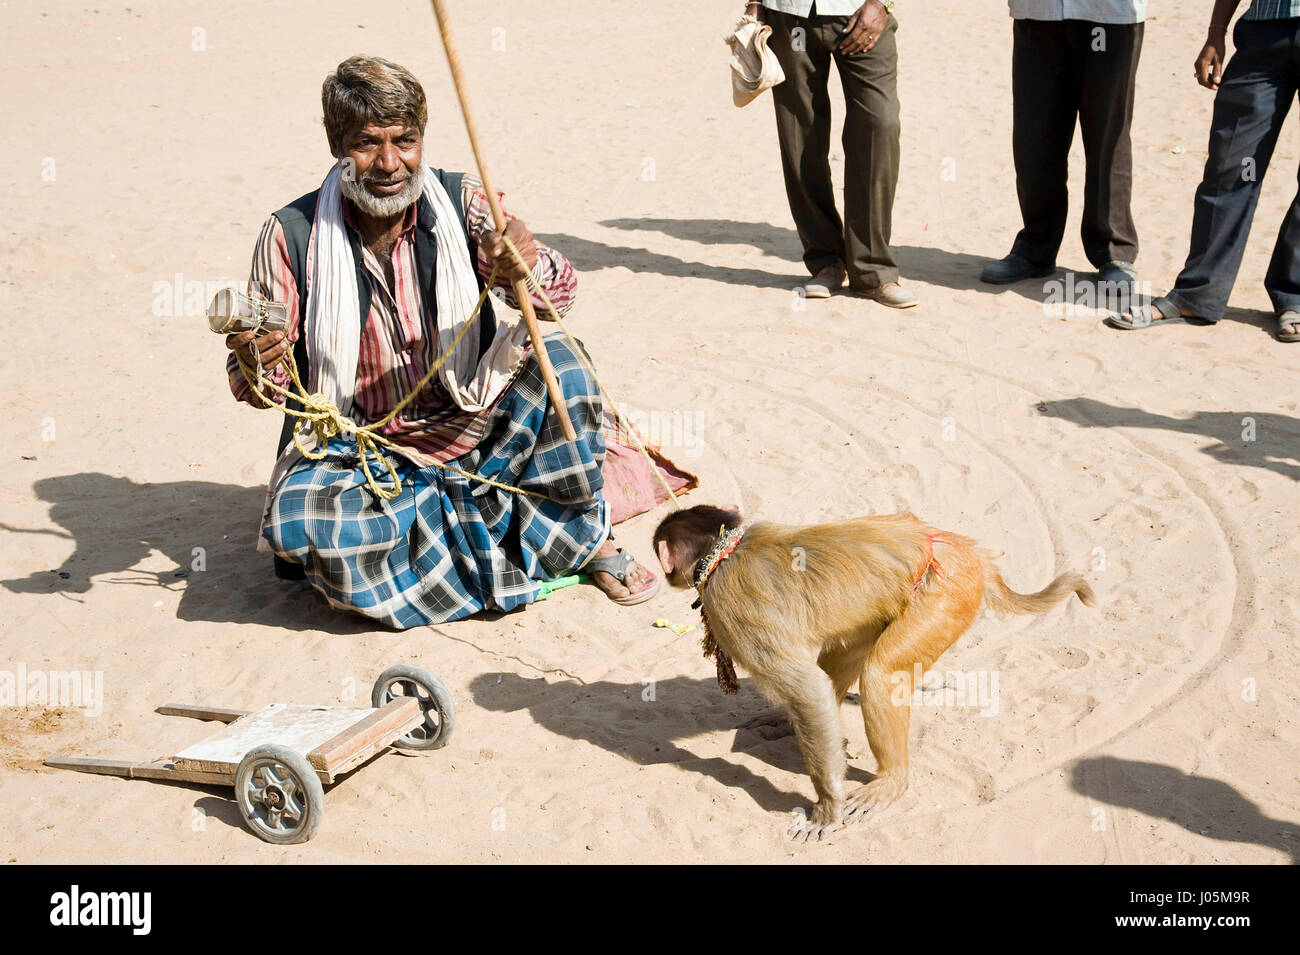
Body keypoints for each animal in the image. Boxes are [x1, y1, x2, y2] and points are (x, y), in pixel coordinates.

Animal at [653, 504, 1095, 842]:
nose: (663, 572)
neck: (724, 553)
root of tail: (964, 549)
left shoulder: (731, 609)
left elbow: (807, 689)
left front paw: (827, 809)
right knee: (850, 654)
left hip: (946, 594)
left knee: (880, 673)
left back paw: (891, 781)